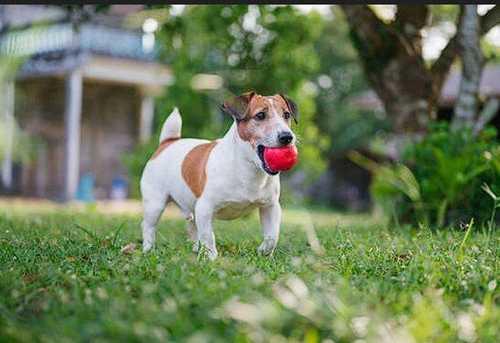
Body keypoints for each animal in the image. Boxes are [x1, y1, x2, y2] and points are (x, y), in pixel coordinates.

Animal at [140, 91, 296, 260]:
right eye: (260, 115)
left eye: (286, 115)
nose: (287, 137)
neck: (247, 167)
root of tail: (167, 143)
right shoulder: (204, 208)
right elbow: (208, 236)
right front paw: (212, 258)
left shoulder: (271, 207)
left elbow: (272, 236)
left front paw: (264, 253)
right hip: (155, 204)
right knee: (148, 226)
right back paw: (148, 249)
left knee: (193, 228)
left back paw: (195, 249)